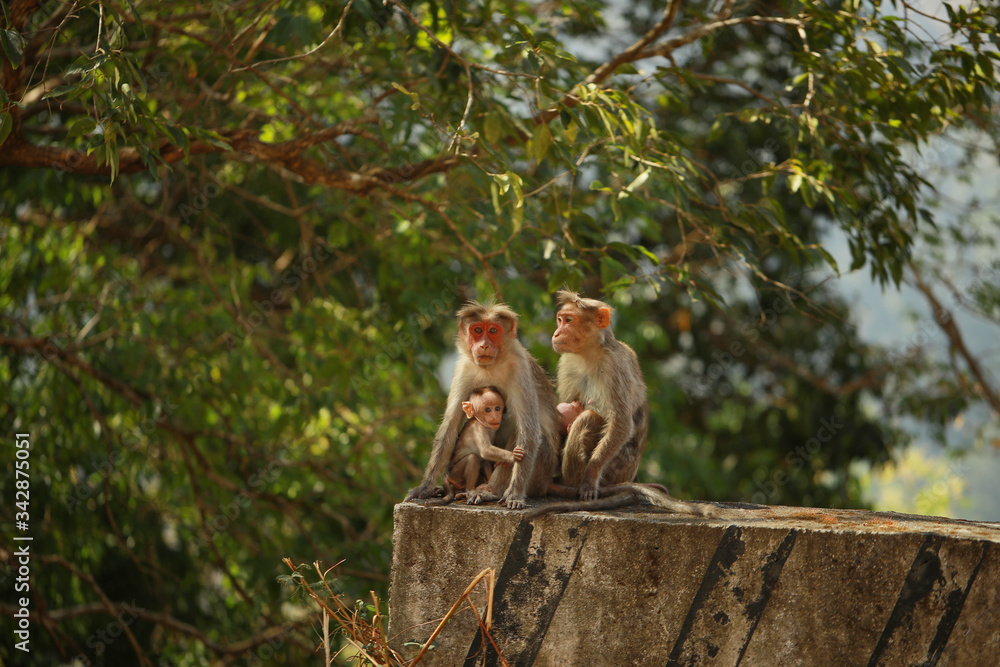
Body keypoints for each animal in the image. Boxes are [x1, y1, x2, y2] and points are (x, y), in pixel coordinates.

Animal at [405, 300, 561, 510]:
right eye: (477, 330)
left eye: (493, 331)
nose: (484, 345)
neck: (492, 365)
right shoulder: (463, 368)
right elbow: (450, 426)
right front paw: (425, 486)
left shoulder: (520, 368)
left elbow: (528, 431)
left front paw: (515, 493)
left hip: (540, 475)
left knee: (530, 438)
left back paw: (490, 492)